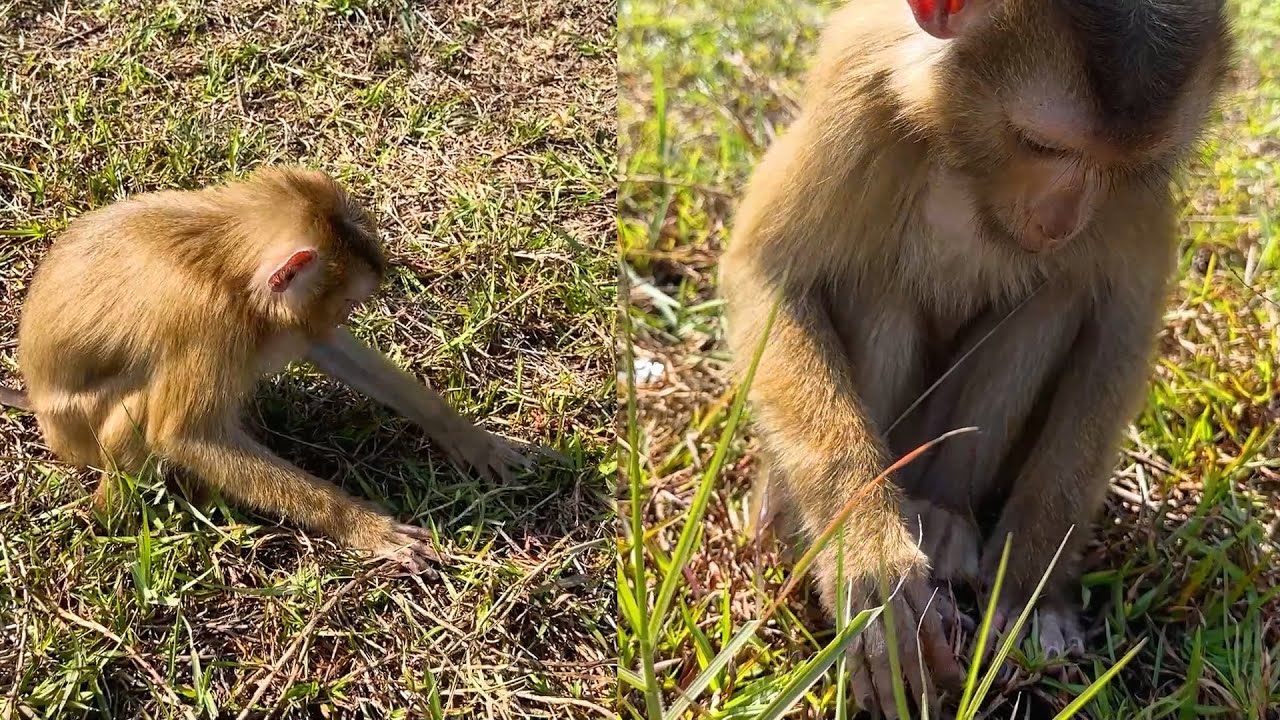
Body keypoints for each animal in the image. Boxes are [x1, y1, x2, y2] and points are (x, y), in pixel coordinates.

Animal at [6, 165, 530, 572]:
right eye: (349, 304)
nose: (338, 317)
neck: (221, 258)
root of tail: (39, 410)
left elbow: (322, 346)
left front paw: (464, 436)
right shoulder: (206, 320)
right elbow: (186, 437)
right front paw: (364, 527)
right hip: (80, 434)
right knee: (144, 405)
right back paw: (115, 521)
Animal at [720, 0, 1231, 715]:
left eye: (1124, 166)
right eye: (1043, 145)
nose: (1060, 221)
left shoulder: (1135, 191)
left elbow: (1118, 338)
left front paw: (1034, 585)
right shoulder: (858, 100)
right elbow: (766, 277)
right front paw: (867, 557)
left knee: (1058, 295)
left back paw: (945, 515)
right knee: (877, 281)